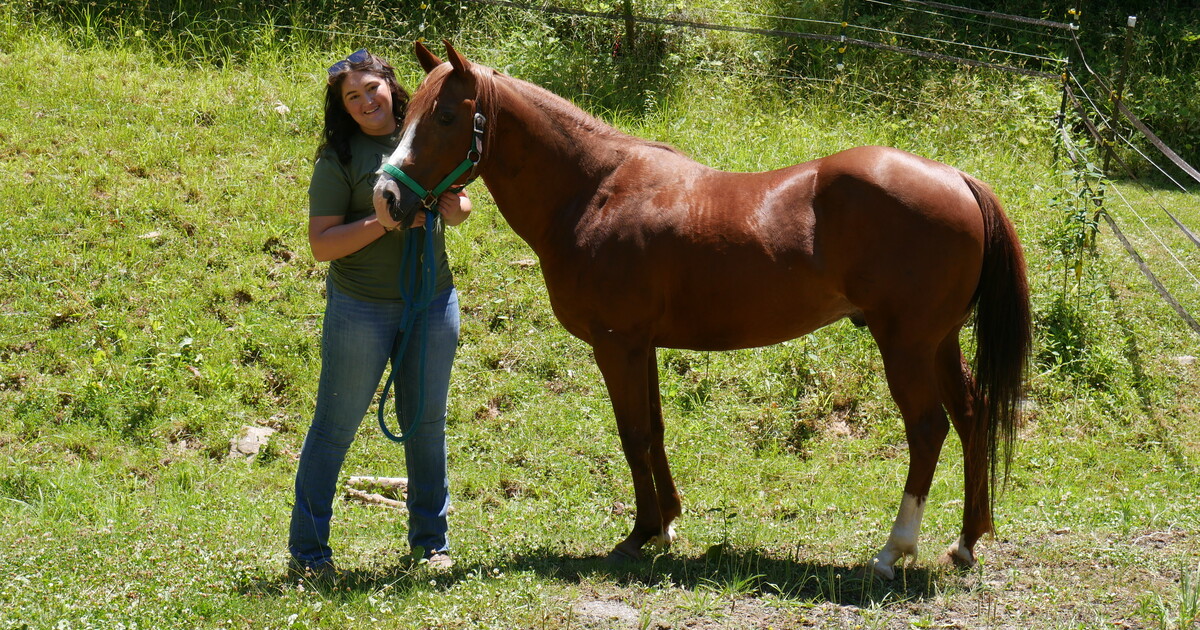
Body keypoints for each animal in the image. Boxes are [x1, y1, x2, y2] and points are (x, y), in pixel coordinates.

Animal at [373, 40, 1031, 580]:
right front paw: (667, 521)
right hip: (939, 342)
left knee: (928, 428)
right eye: (406, 114)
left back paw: (895, 550)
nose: (387, 196)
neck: (593, 191)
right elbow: (654, 429)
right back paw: (967, 542)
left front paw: (640, 534)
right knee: (972, 417)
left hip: (907, 345)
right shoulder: (641, 345)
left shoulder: (616, 344)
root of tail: (956, 177)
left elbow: (634, 433)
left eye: (447, 116)